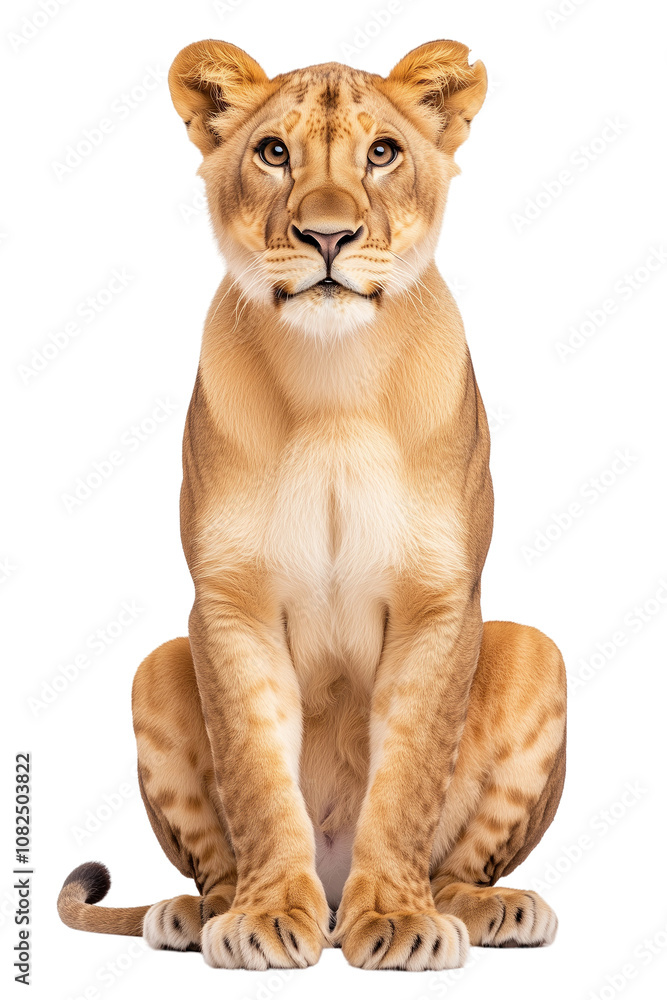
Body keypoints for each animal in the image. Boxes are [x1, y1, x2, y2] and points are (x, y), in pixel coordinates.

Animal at [57, 39, 566, 971]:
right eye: (273, 152)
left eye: (382, 152)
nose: (327, 235)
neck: (333, 382)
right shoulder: (230, 602)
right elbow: (256, 775)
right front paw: (262, 917)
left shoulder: (440, 602)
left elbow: (406, 779)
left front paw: (397, 921)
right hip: (156, 664)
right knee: (212, 864)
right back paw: (198, 914)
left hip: (533, 649)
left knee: (454, 868)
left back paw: (490, 908)